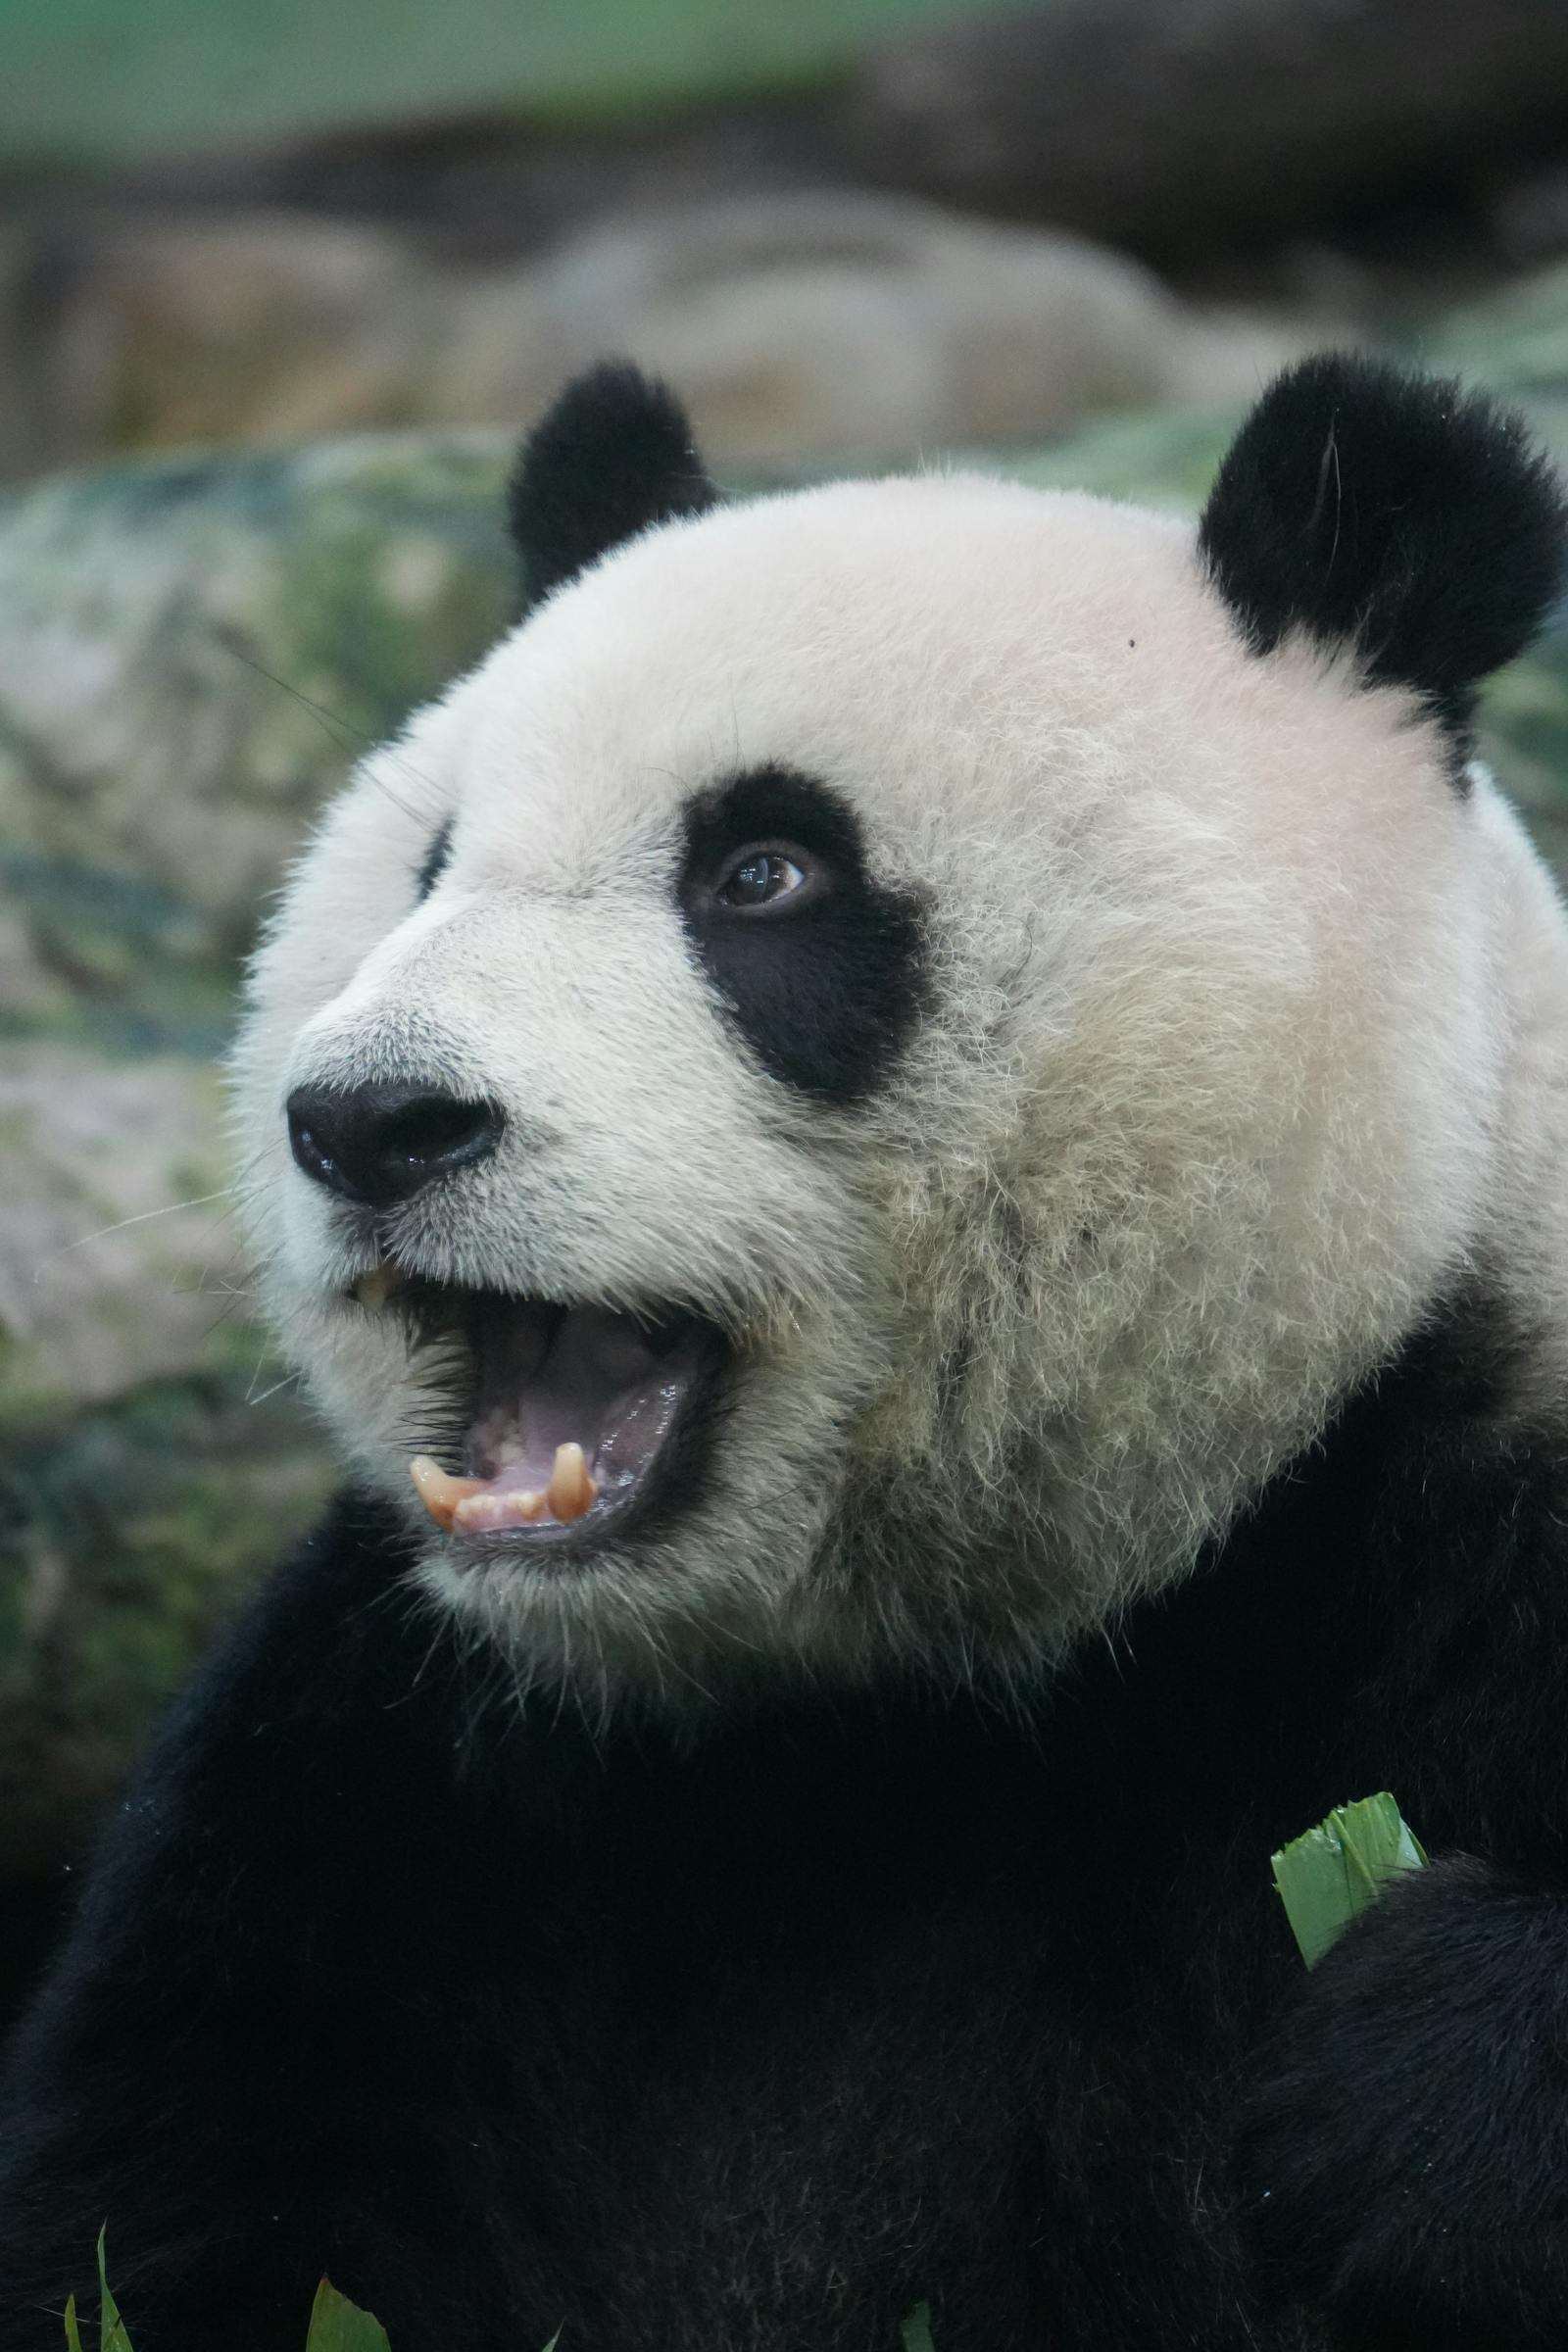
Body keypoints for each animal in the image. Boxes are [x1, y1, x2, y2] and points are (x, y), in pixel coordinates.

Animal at [3, 351, 1568, 2352]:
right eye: (427, 865)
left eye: (763, 872)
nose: (369, 1121)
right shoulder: (392, 1778)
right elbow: (160, 2200)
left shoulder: (1466, 1535)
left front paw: (1409, 2089)